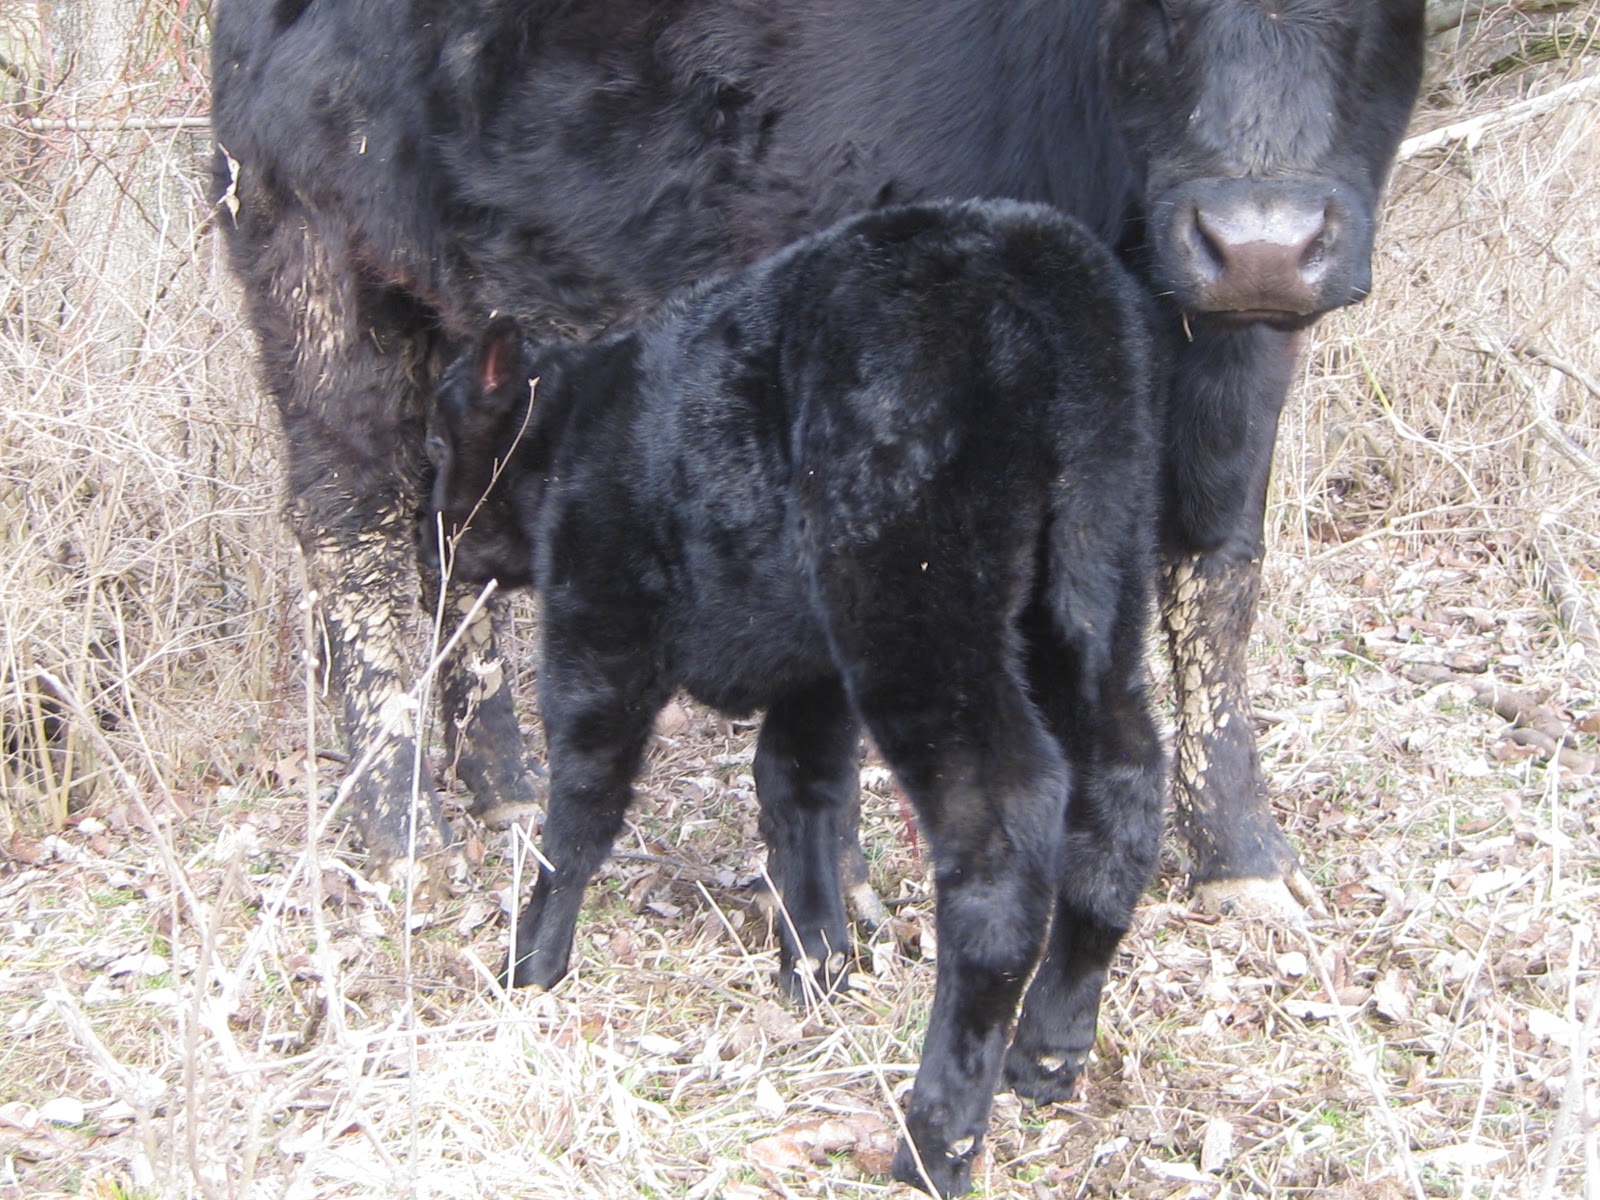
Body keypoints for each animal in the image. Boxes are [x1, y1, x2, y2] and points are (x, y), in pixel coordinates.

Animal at [209, 1, 1426, 905]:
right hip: (317, 279)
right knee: (349, 524)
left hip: (466, 331)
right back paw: (406, 827)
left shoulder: (1228, 368)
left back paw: (503, 789)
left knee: (448, 528)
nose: (1259, 241)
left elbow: (1213, 575)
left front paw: (1241, 855)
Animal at [423, 198, 1166, 1195]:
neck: (576, 422)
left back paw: (935, 1137)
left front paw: (532, 960)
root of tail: (1037, 263)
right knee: (1123, 781)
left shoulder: (598, 624)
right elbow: (800, 791)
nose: (439, 539)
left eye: (438, 440)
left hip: (910, 601)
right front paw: (814, 966)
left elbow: (580, 803)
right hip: (1098, 580)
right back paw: (1049, 1049)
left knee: (1001, 831)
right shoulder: (811, 674)